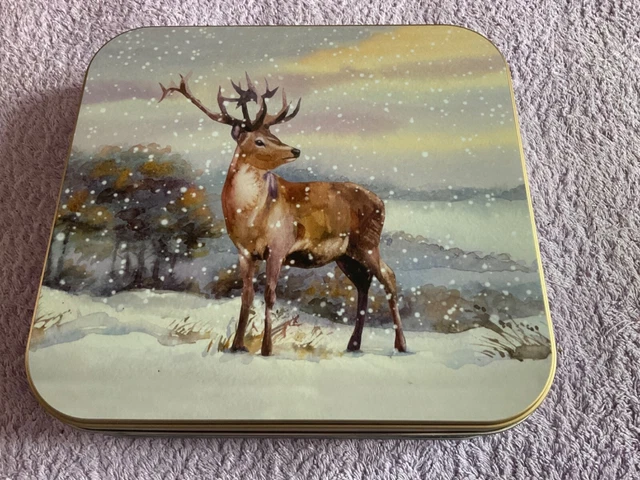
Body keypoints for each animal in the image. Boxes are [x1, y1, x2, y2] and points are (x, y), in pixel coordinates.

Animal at [159, 73, 407, 356]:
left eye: (274, 133)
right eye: (260, 140)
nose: (295, 150)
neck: (250, 218)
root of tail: (381, 202)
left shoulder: (278, 245)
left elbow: (269, 294)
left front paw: (266, 349)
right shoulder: (245, 252)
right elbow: (246, 295)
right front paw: (237, 346)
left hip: (367, 243)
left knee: (389, 277)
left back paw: (401, 344)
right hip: (346, 254)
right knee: (363, 284)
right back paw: (354, 344)